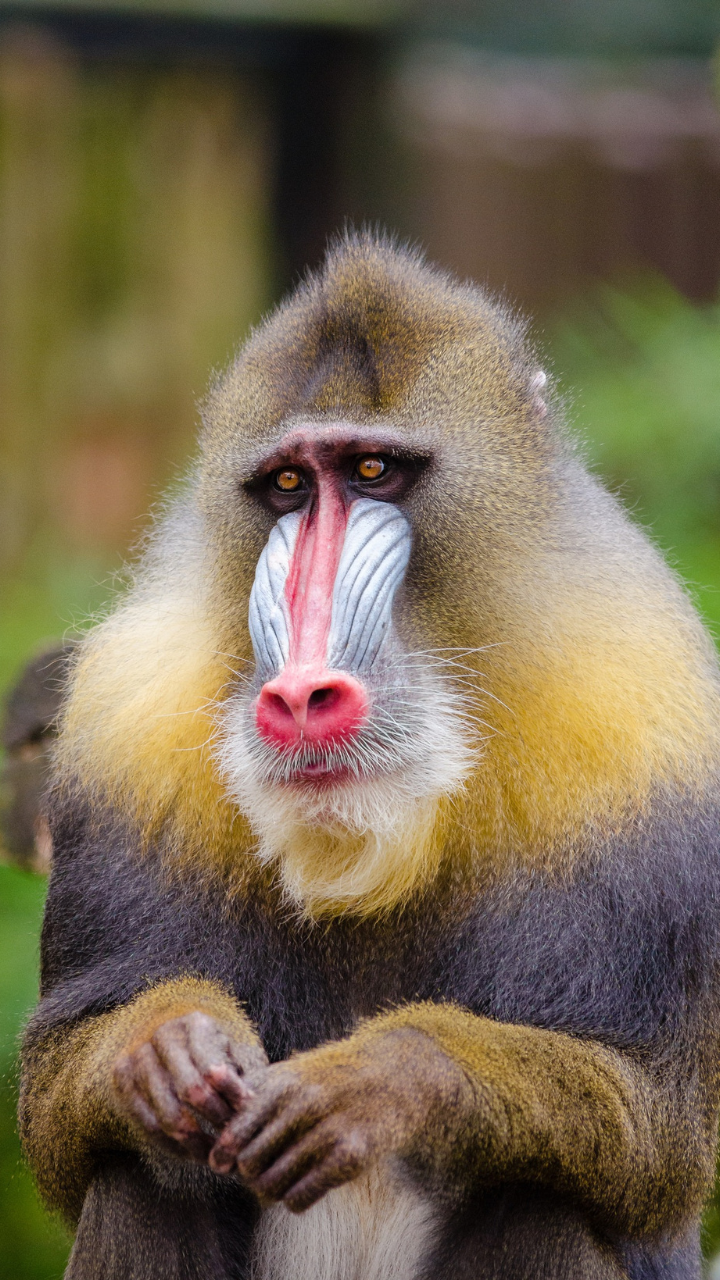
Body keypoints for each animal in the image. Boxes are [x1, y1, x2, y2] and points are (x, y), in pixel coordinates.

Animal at [18, 232, 720, 1280]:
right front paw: (167, 1049)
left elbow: (656, 1133)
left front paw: (381, 1080)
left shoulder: (648, 732)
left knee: (543, 1199)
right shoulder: (124, 729)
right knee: (141, 1180)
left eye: (375, 468)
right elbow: (59, 1110)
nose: (303, 696)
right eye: (288, 487)